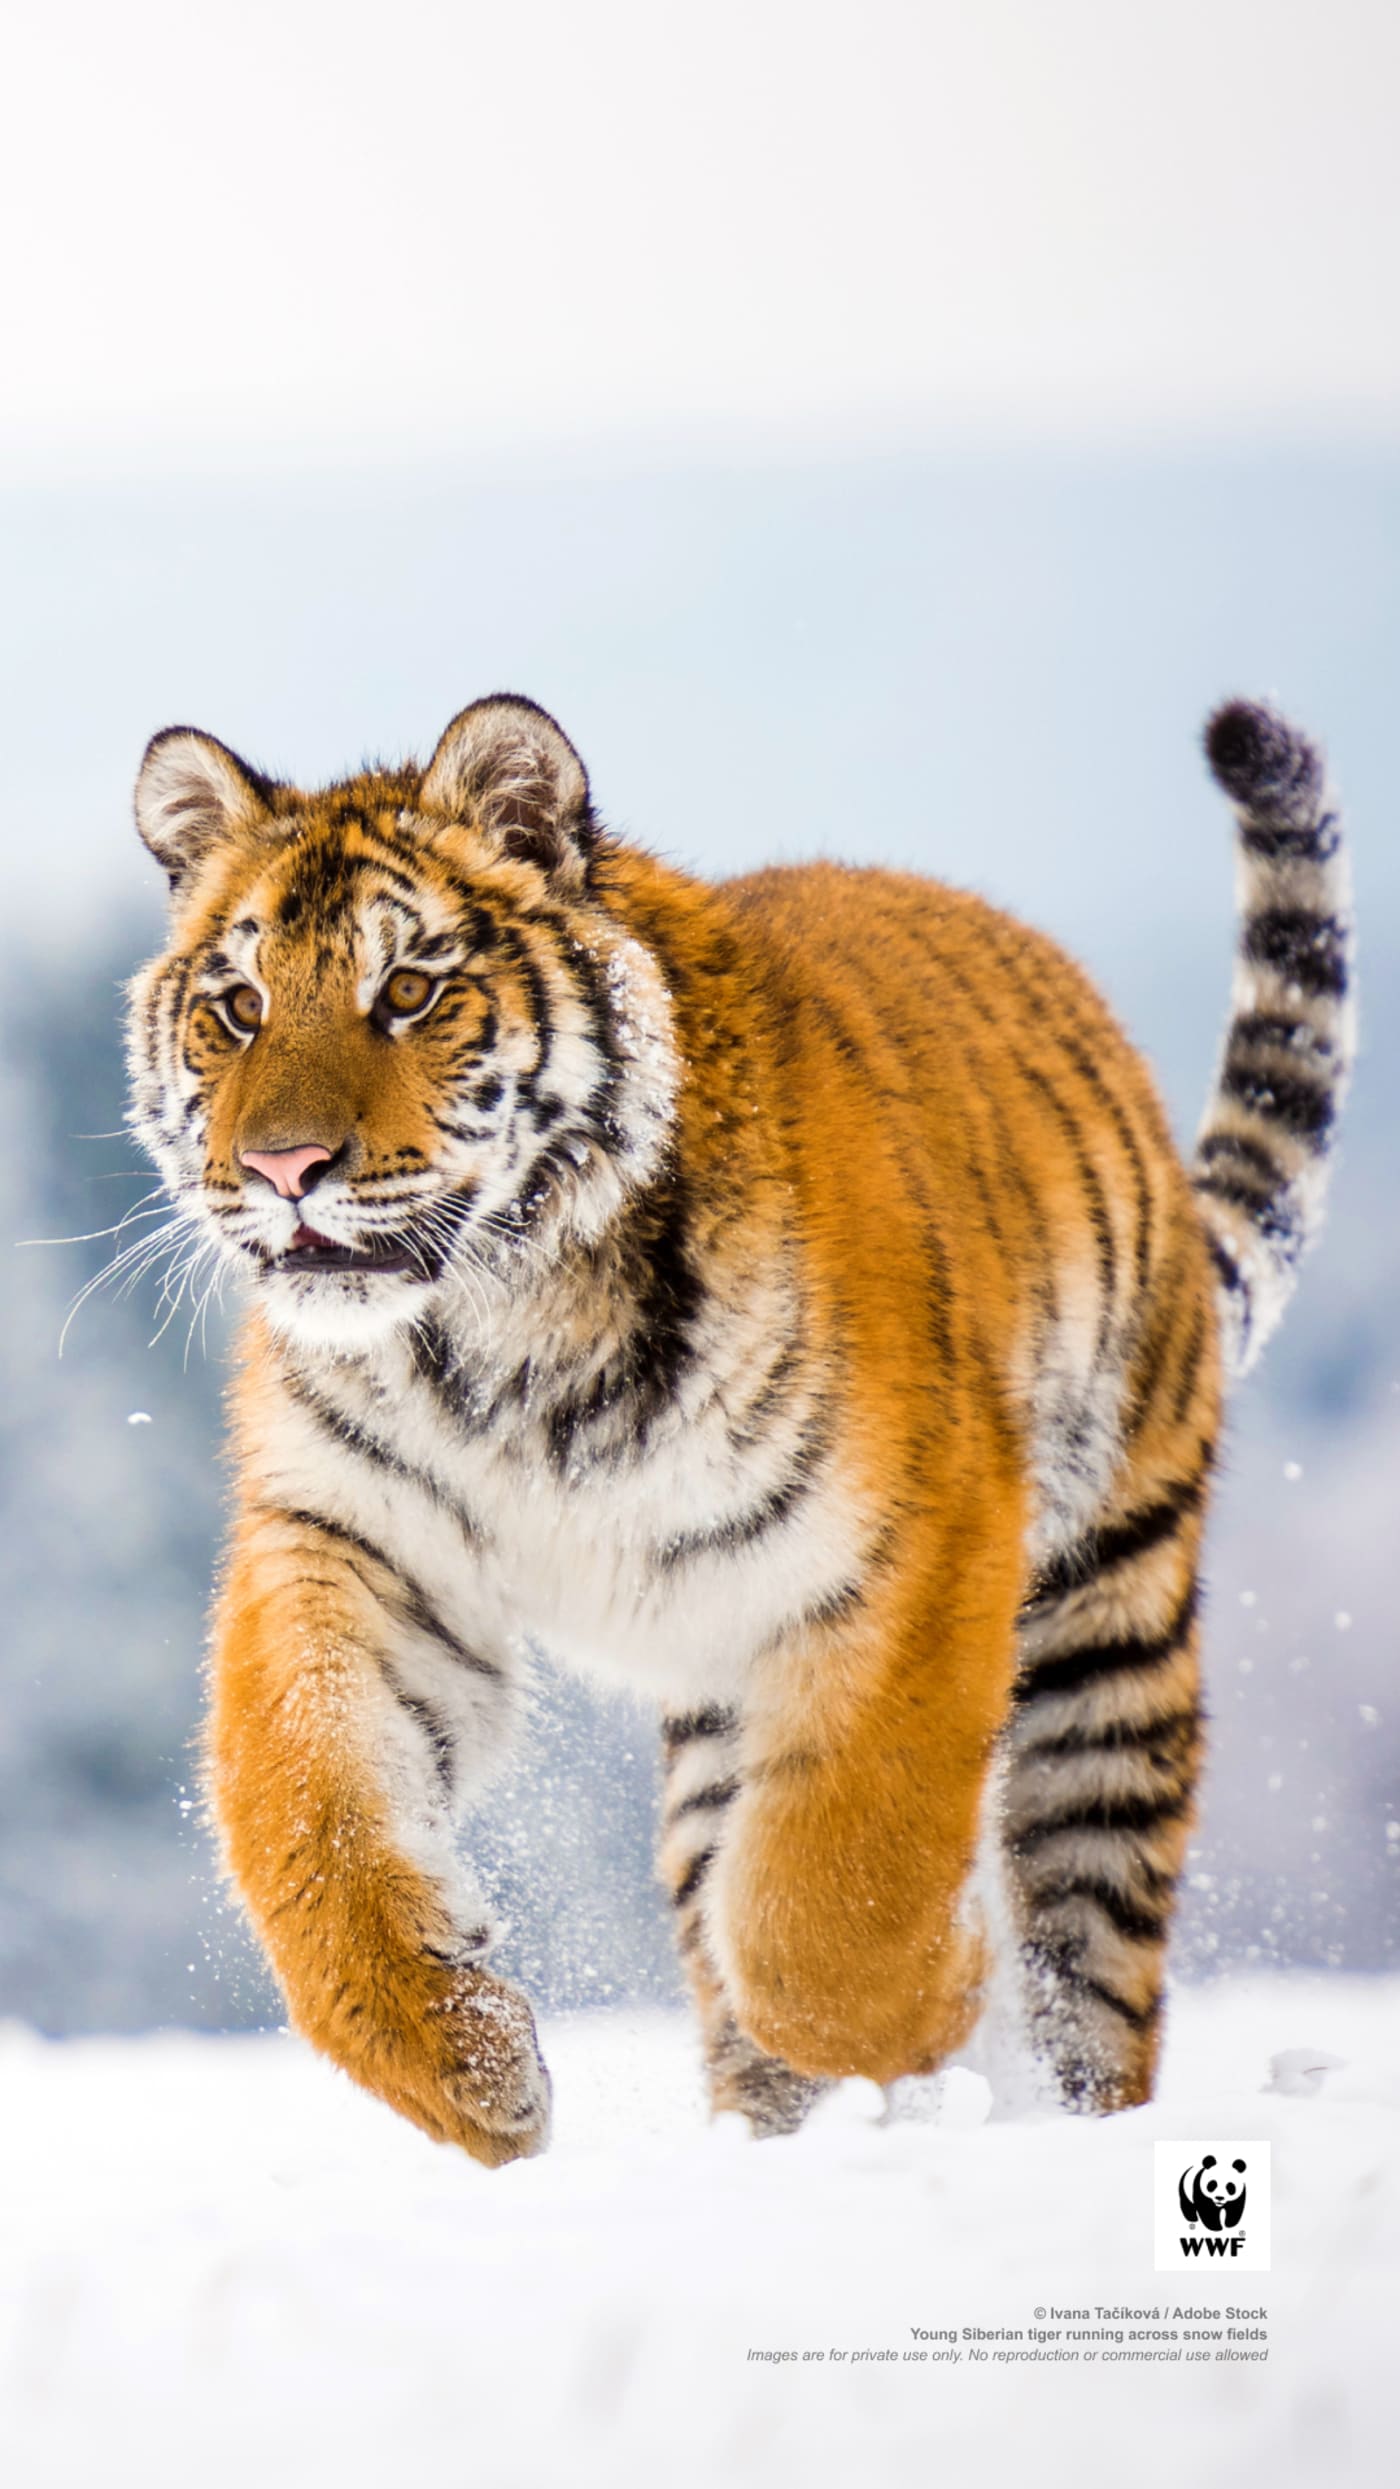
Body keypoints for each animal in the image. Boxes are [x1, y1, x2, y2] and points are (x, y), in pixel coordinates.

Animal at [125, 691, 1354, 2164]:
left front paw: (937, 2002)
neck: (503, 1323)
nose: (280, 1169)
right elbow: (307, 1816)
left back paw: (1055, 2117)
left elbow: (830, 1892)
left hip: (1103, 1628)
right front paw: (469, 2064)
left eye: (410, 990)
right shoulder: (354, 1540)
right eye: (238, 1007)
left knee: (1087, 1965)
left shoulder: (919, 1544)